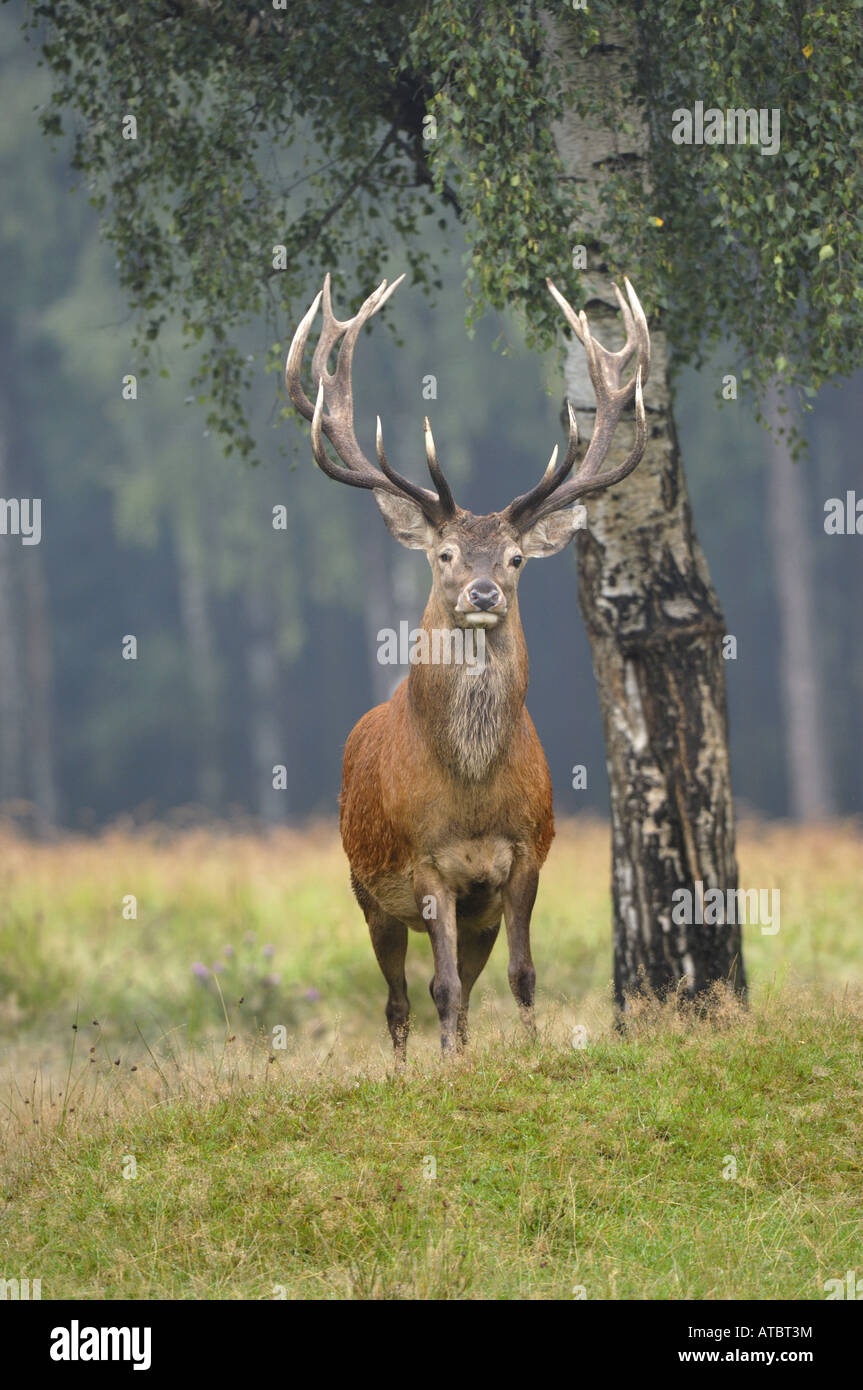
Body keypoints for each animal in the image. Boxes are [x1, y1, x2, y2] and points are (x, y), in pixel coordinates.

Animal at [286, 272, 650, 1061]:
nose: (483, 593)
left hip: (470, 908)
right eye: (446, 553)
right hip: (367, 892)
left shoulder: (523, 858)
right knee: (399, 999)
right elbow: (442, 987)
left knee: (458, 984)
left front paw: (528, 1048)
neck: (474, 792)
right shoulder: (425, 864)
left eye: (514, 559)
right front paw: (449, 1068)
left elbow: (521, 975)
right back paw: (406, 1065)